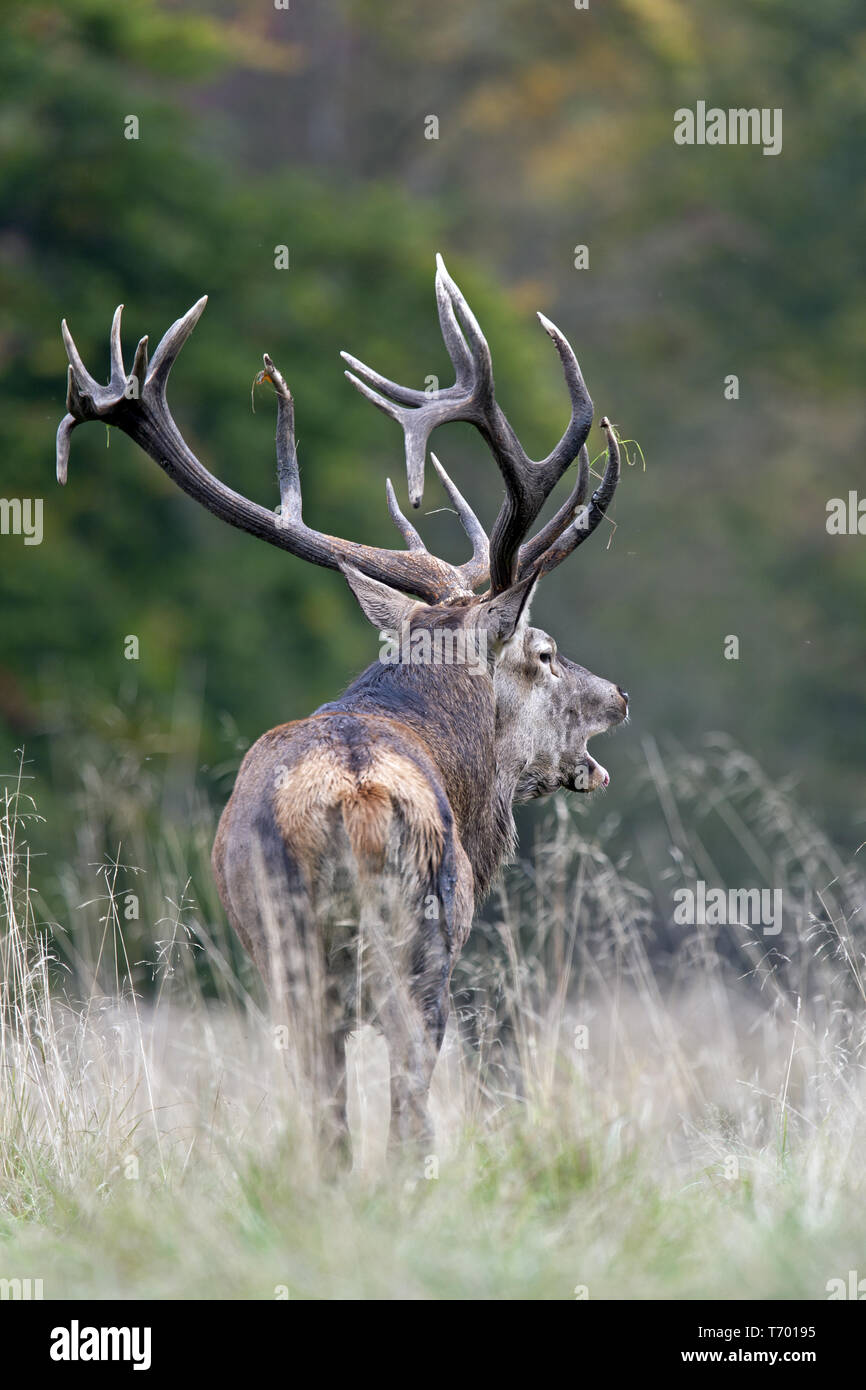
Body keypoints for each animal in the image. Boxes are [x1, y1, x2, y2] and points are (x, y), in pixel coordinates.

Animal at [56, 256, 628, 1158]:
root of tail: (359, 799)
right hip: (407, 952)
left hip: (314, 964)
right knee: (400, 1115)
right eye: (543, 653)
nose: (617, 698)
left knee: (344, 1122)